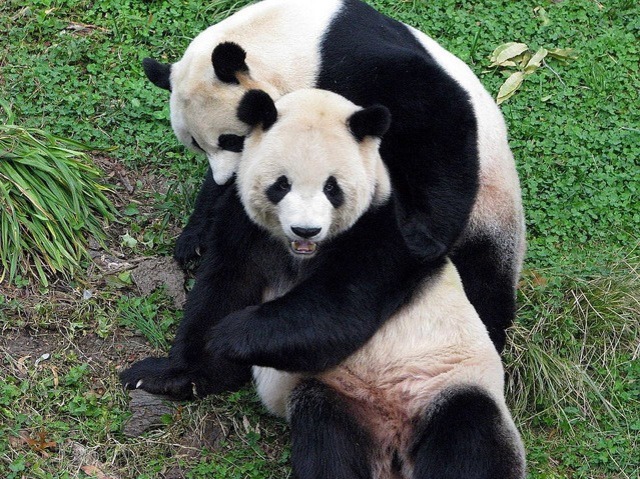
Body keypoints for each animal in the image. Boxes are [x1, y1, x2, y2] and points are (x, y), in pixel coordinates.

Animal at [121, 0, 525, 399]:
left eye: (230, 140)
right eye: (196, 146)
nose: (232, 180)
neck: (285, 38)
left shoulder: (353, 64)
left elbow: (434, 118)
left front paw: (423, 234)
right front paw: (194, 240)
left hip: (490, 212)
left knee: (478, 280)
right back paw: (174, 373)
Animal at [229, 88, 526, 479]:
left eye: (332, 188)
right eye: (281, 185)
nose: (305, 230)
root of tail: (394, 431)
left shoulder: (389, 229)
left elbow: (343, 305)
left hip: (449, 382)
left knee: (469, 436)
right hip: (334, 395)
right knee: (328, 443)